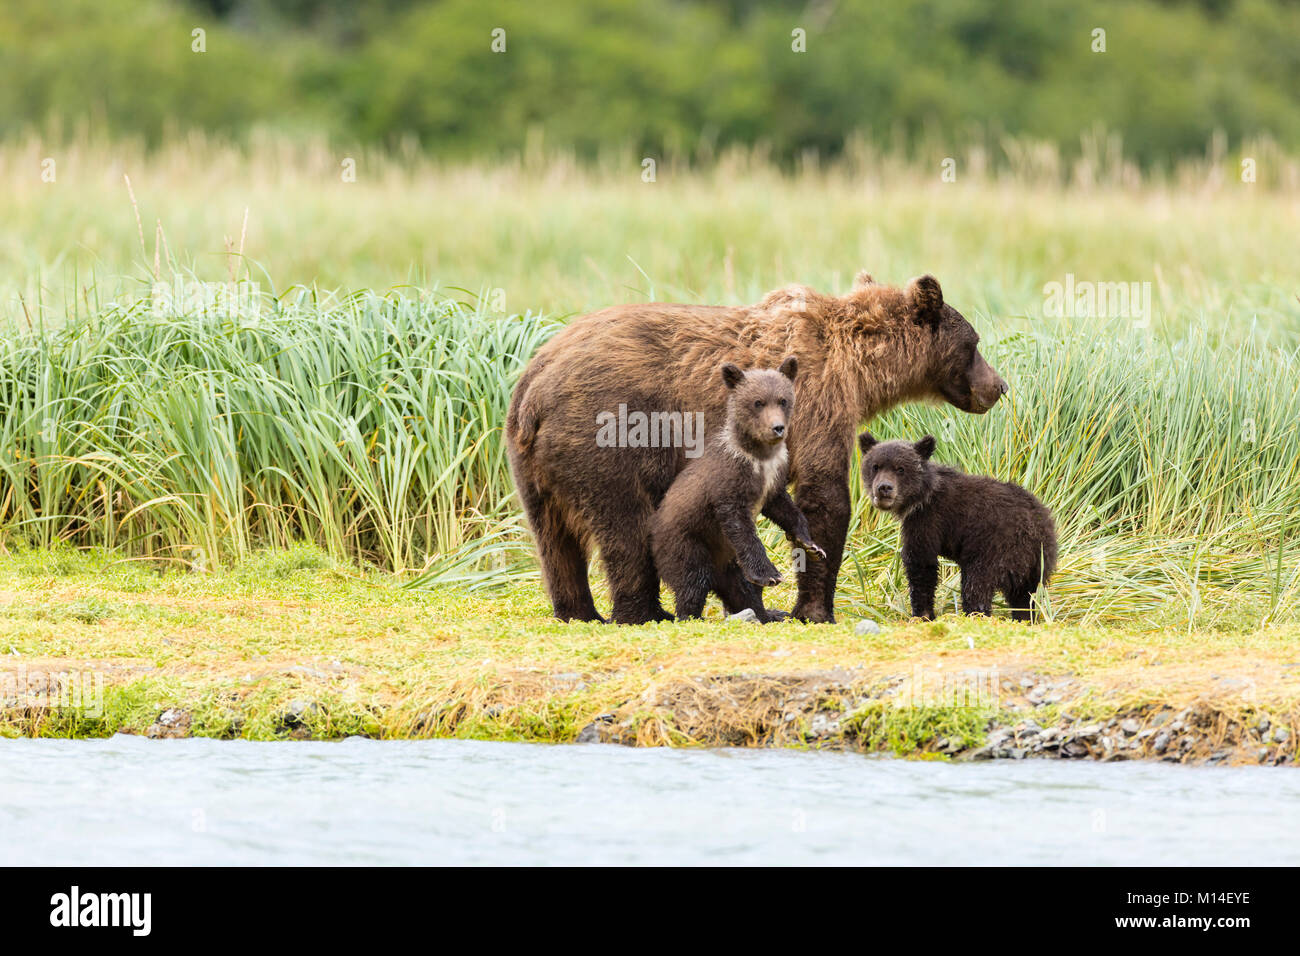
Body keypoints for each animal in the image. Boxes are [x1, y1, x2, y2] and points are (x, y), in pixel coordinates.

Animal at [650, 357, 826, 621]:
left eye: (783, 400)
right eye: (758, 402)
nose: (777, 428)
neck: (760, 457)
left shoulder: (774, 476)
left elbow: (785, 508)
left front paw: (810, 545)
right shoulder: (729, 481)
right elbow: (739, 525)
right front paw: (770, 574)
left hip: (727, 561)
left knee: (740, 590)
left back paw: (767, 613)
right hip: (686, 541)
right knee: (692, 579)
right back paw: (691, 615)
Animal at [857, 432, 1057, 621]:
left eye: (900, 468)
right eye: (875, 466)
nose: (884, 488)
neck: (921, 495)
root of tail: (1038, 528)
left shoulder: (928, 520)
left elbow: (920, 562)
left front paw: (922, 614)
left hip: (995, 548)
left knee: (976, 585)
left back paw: (975, 614)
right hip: (1036, 565)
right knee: (1024, 597)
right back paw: (1024, 618)